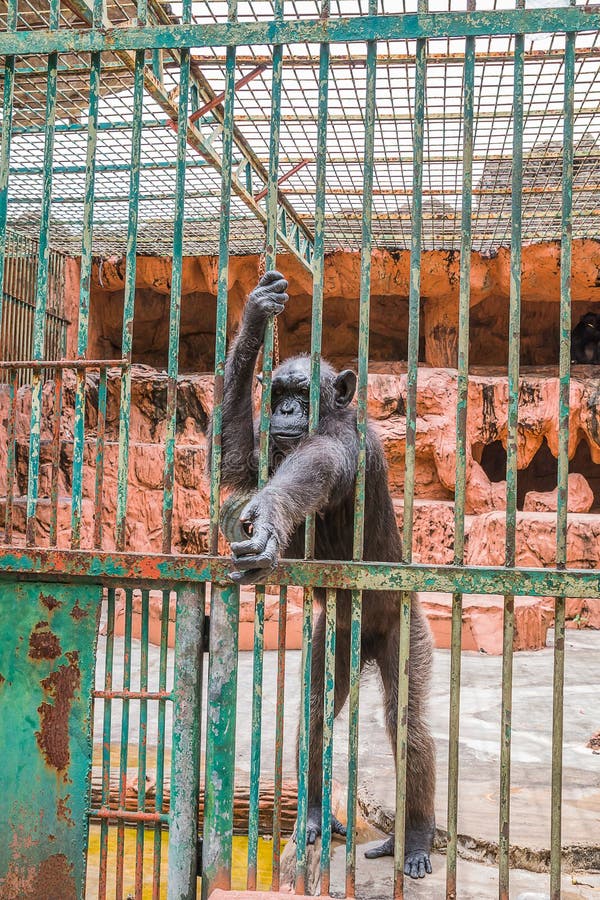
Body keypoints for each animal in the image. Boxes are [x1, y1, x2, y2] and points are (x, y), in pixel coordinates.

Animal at [211, 271, 436, 880]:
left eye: (301, 395)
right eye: (278, 395)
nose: (287, 412)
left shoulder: (336, 452)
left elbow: (298, 477)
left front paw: (266, 523)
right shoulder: (267, 450)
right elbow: (237, 463)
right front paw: (256, 315)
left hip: (406, 625)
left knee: (409, 727)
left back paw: (417, 839)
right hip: (334, 636)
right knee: (314, 711)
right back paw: (313, 815)